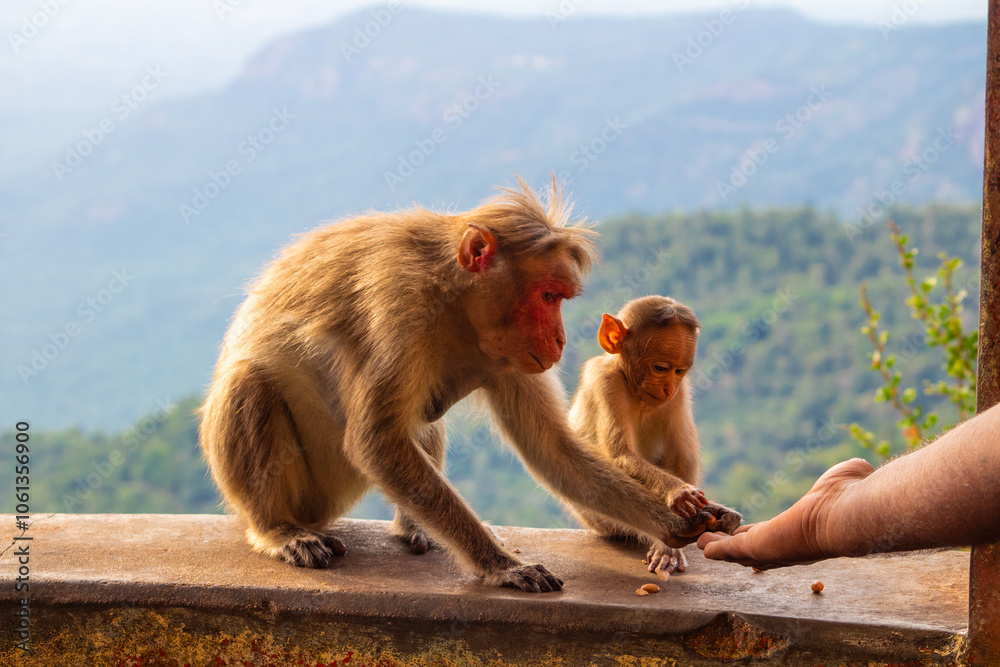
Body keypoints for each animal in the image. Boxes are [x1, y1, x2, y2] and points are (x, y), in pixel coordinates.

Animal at [198, 178, 717, 593]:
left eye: (562, 298)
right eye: (549, 295)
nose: (560, 339)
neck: (454, 303)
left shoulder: (512, 356)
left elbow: (555, 451)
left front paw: (675, 524)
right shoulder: (403, 302)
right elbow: (375, 440)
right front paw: (500, 566)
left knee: (422, 423)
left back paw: (413, 526)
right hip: (307, 487)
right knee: (250, 385)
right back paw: (278, 530)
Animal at [567, 296, 741, 577]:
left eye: (680, 371)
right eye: (660, 368)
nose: (668, 387)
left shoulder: (679, 393)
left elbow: (680, 457)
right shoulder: (605, 382)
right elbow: (620, 455)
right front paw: (678, 493)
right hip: (598, 521)